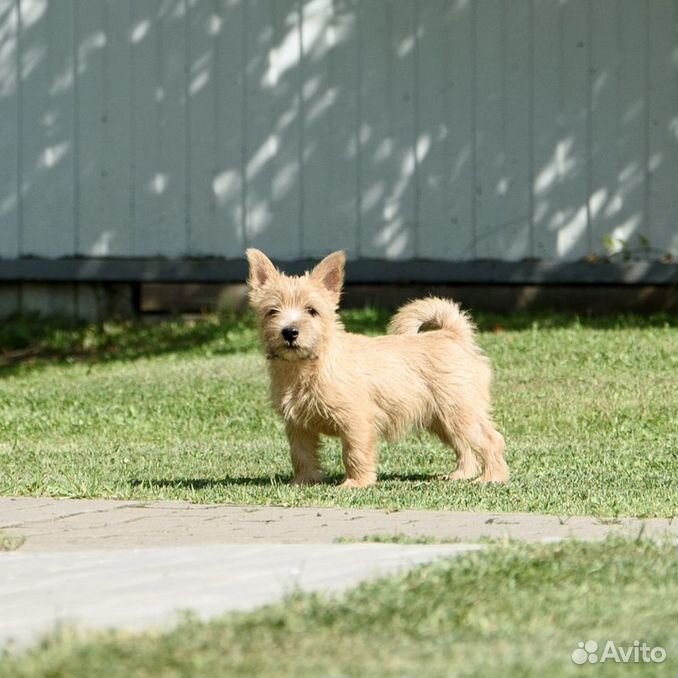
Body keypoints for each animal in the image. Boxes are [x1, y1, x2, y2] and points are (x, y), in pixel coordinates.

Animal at [246, 250, 510, 488]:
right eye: (272, 311)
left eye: (312, 311)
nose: (290, 332)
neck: (308, 365)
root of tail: (452, 335)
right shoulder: (298, 426)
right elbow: (302, 455)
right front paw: (303, 482)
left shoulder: (356, 421)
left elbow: (354, 453)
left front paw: (357, 483)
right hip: (443, 419)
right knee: (464, 446)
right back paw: (461, 475)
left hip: (460, 412)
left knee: (490, 440)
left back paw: (492, 477)